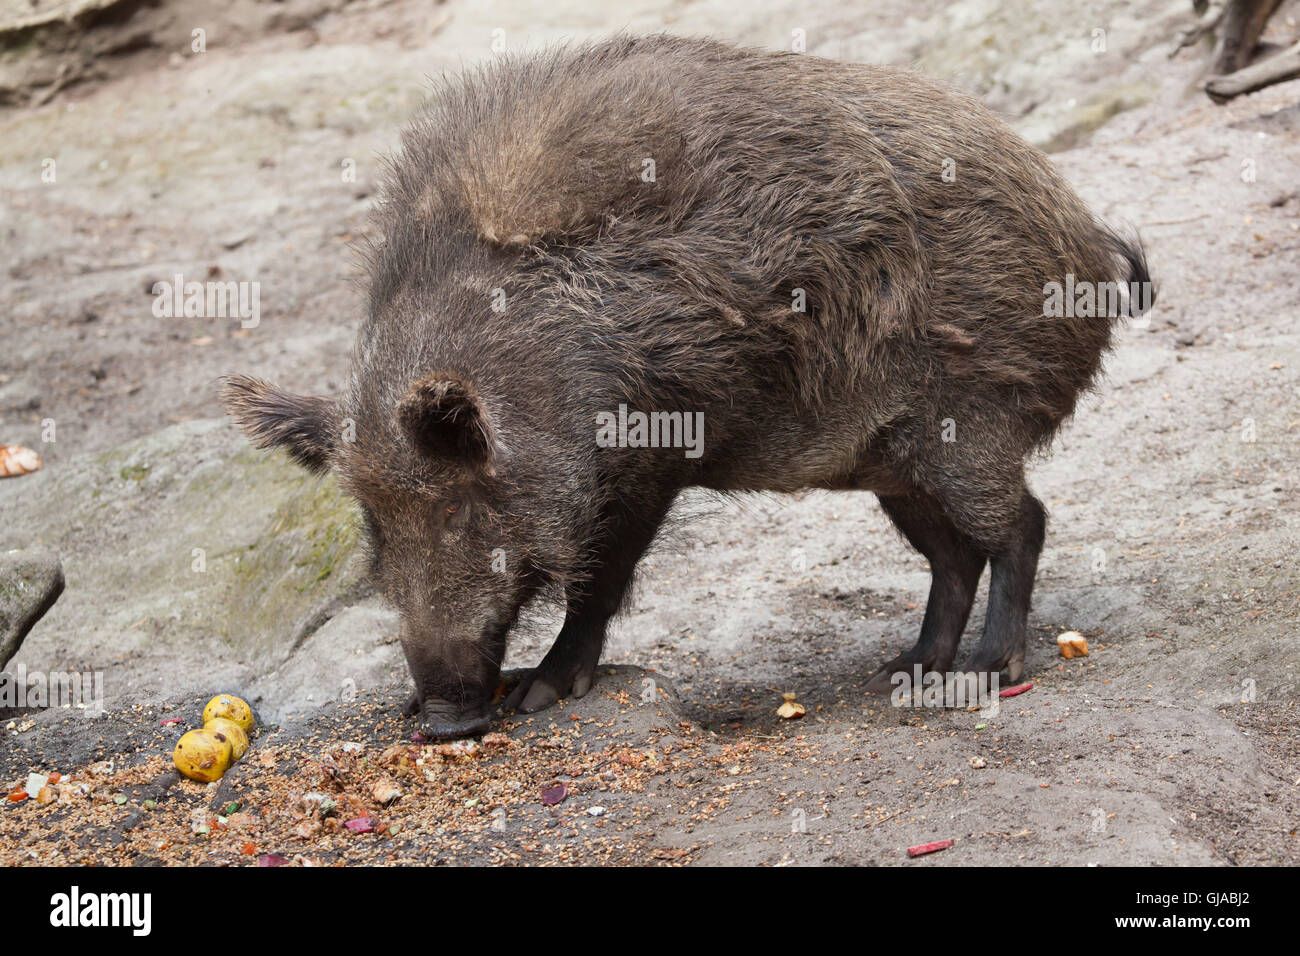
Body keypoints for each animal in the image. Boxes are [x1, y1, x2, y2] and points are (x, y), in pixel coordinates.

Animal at [222, 34, 1153, 738]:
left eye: (457, 507)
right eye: (372, 522)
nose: (444, 719)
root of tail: (1088, 241)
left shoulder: (647, 455)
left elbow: (601, 579)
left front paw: (540, 695)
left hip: (970, 423)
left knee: (1022, 524)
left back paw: (989, 672)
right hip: (891, 463)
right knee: (954, 555)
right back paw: (905, 669)